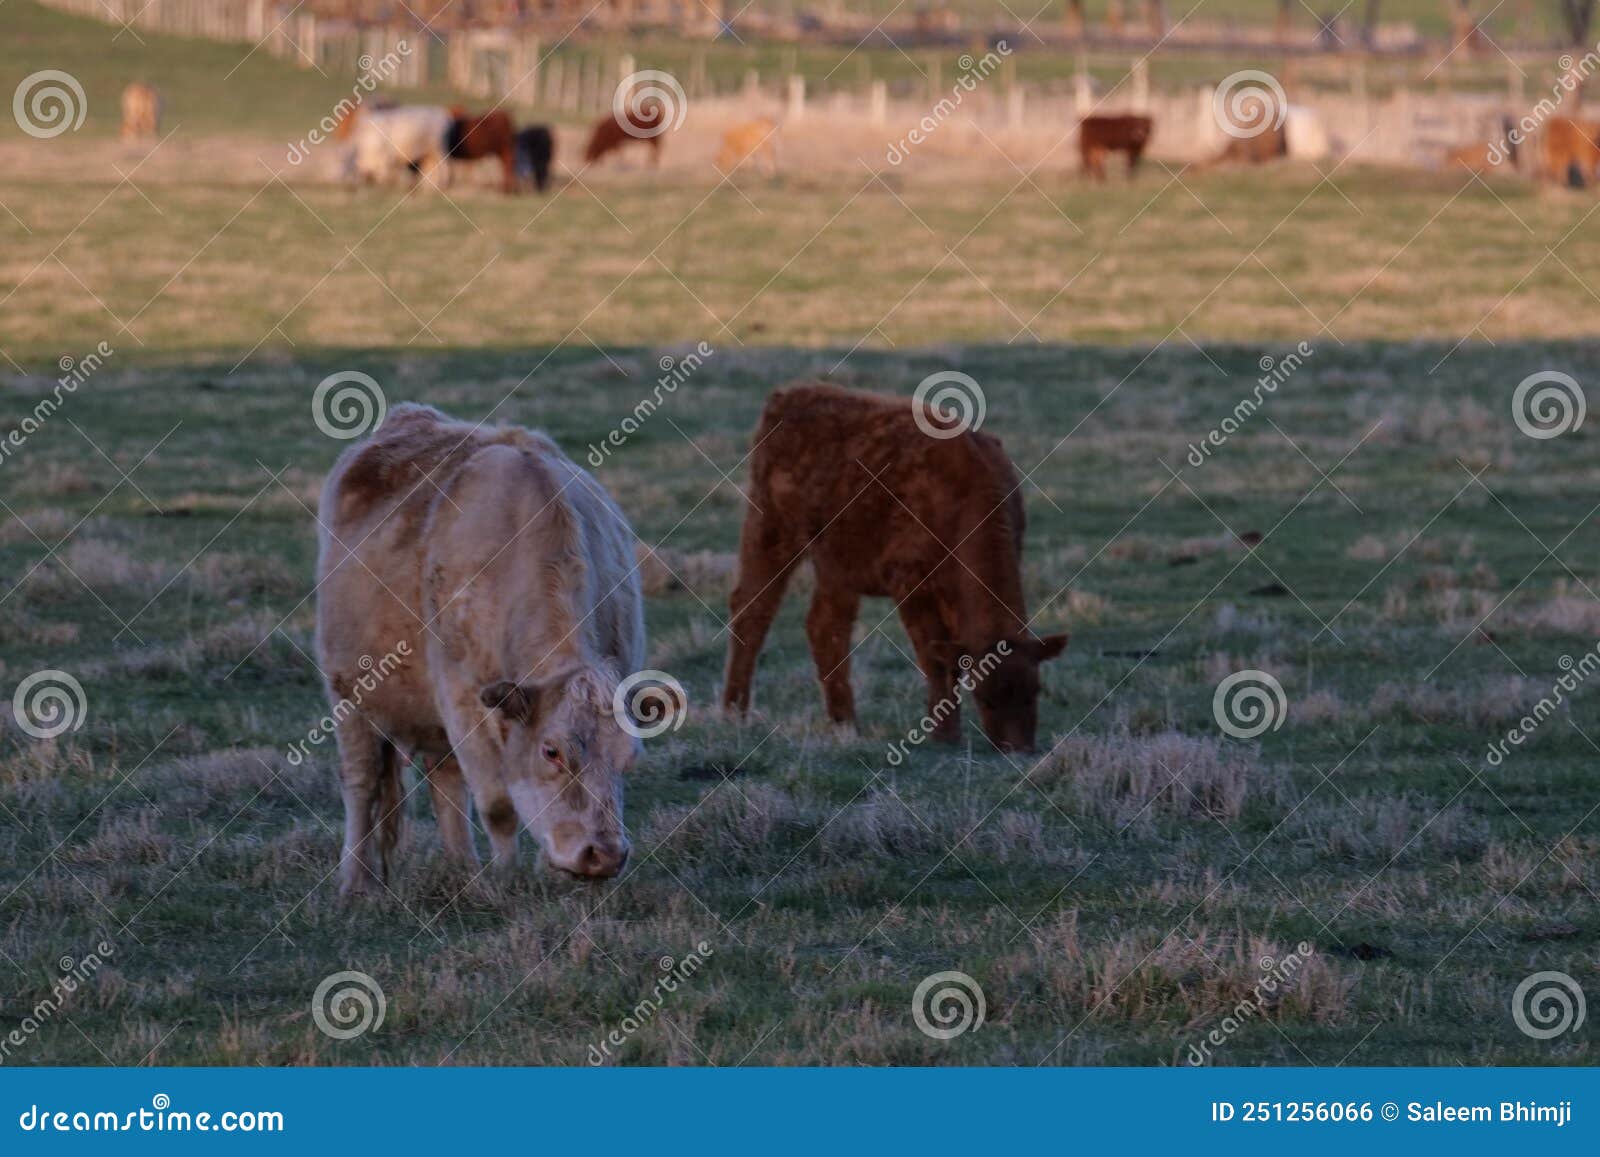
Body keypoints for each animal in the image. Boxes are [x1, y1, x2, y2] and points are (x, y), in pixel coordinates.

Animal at [315, 403, 646, 892]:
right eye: (551, 751)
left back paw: (462, 869)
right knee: (362, 782)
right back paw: (353, 885)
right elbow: (498, 806)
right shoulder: (464, 701)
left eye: (630, 757)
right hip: (349, 695)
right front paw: (506, 881)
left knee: (444, 780)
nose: (603, 856)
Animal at [721, 382, 1068, 754]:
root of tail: (788, 395)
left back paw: (846, 724)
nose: (1017, 749)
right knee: (752, 610)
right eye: (985, 699)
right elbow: (936, 659)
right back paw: (734, 712)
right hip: (770, 530)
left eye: (1034, 692)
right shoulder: (911, 585)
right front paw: (944, 735)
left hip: (836, 562)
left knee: (826, 626)